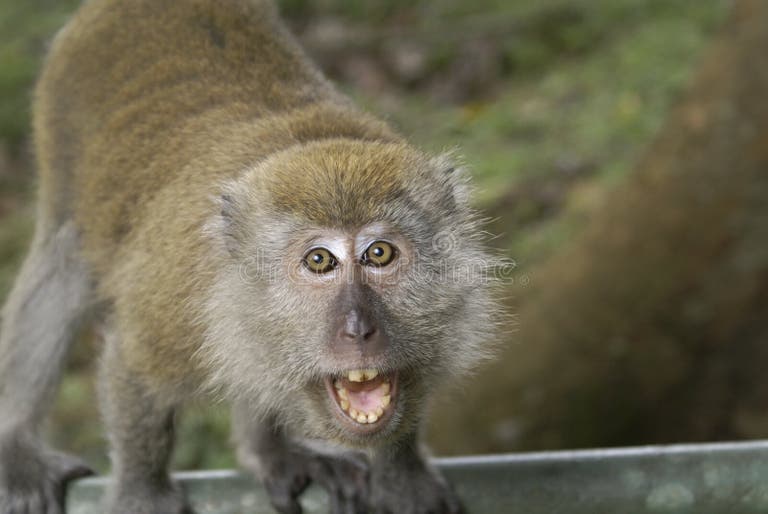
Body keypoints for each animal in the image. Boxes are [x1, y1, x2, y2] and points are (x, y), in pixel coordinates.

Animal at [0, 1, 498, 513]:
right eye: (319, 261)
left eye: (379, 253)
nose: (358, 328)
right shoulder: (176, 305)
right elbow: (135, 368)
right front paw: (143, 490)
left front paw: (401, 470)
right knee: (62, 265)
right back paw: (17, 446)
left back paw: (271, 451)